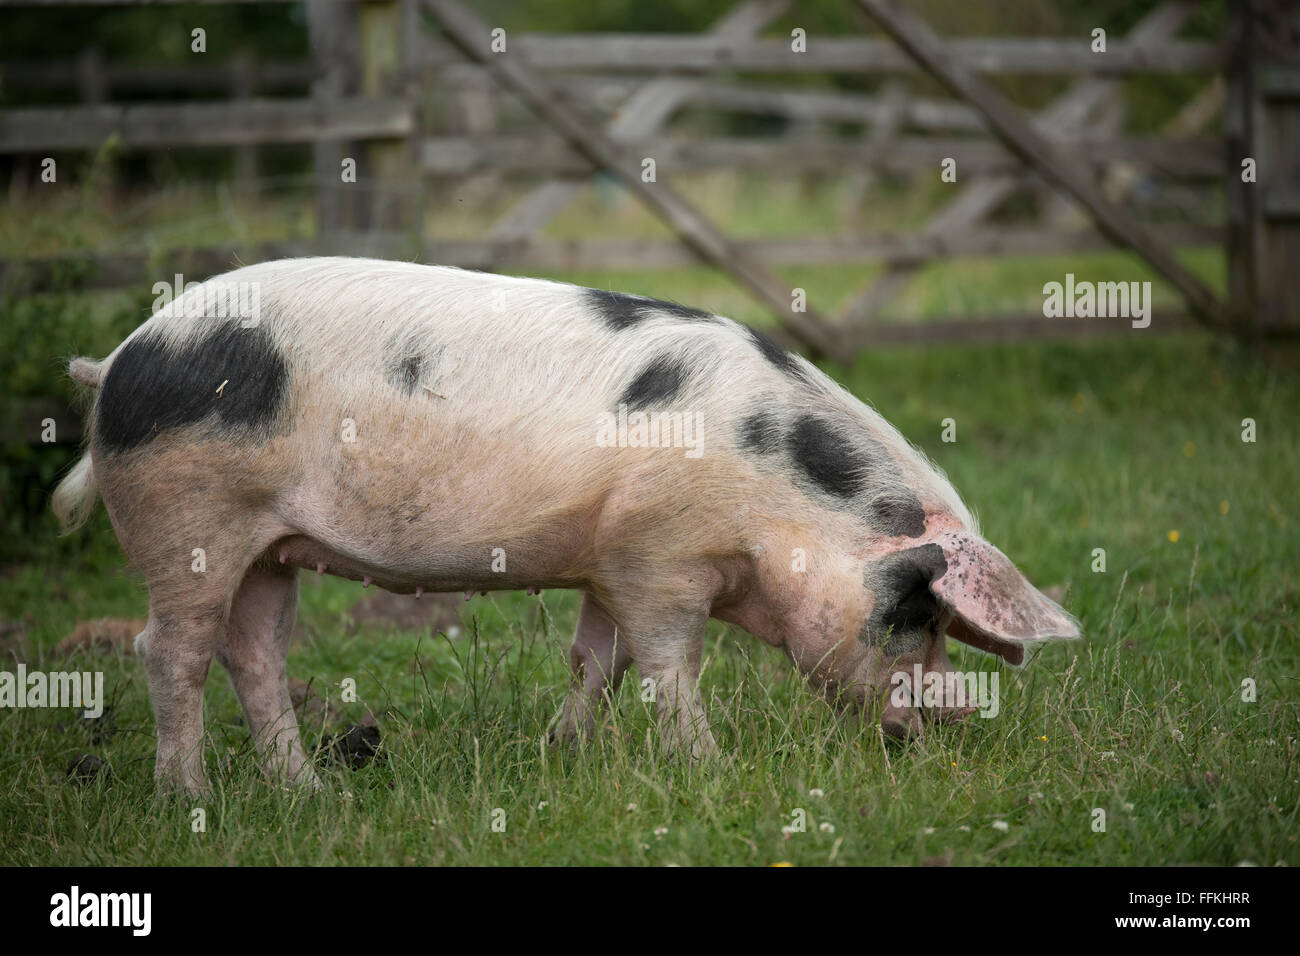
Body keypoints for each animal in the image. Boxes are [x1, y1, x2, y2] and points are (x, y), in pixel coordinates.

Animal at [52, 257, 1080, 794]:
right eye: (913, 611)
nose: (937, 725)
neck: (778, 502)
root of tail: (120, 357)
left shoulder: (607, 558)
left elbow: (598, 661)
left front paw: (563, 754)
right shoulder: (659, 557)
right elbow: (670, 665)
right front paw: (707, 770)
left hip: (270, 545)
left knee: (255, 651)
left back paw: (307, 791)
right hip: (188, 512)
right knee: (168, 649)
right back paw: (189, 795)